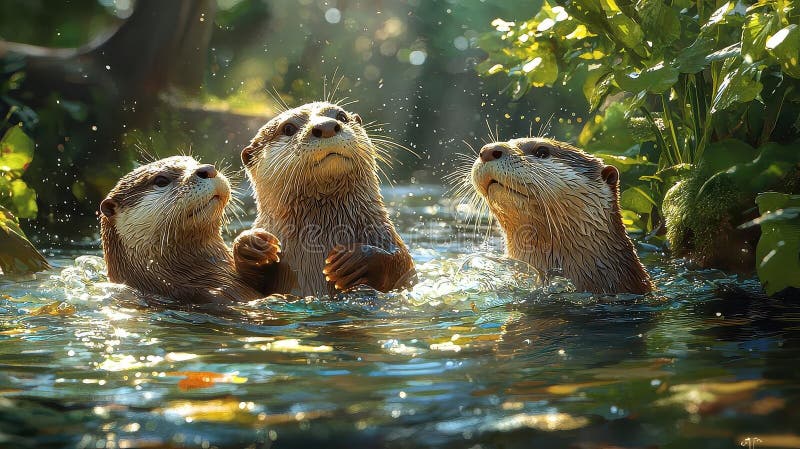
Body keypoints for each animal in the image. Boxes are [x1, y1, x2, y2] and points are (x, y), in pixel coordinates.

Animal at [234, 101, 415, 297]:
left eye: (341, 116)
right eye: (288, 128)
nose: (326, 126)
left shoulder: (388, 238)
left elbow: (402, 265)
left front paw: (355, 259)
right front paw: (250, 246)